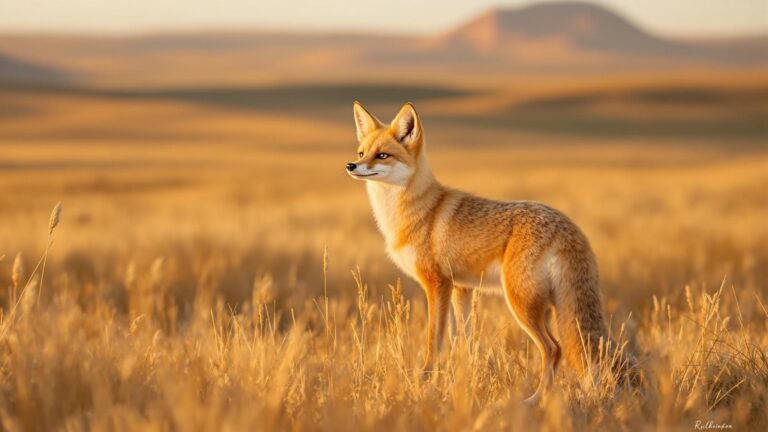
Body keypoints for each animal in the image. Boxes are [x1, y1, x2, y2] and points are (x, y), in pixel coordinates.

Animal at [345, 101, 638, 403]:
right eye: (361, 152)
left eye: (382, 155)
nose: (351, 165)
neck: (416, 210)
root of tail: (570, 228)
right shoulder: (461, 288)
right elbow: (463, 342)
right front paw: (461, 381)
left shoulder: (437, 284)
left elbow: (434, 341)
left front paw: (423, 384)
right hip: (542, 307)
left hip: (521, 303)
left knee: (553, 349)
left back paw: (535, 400)